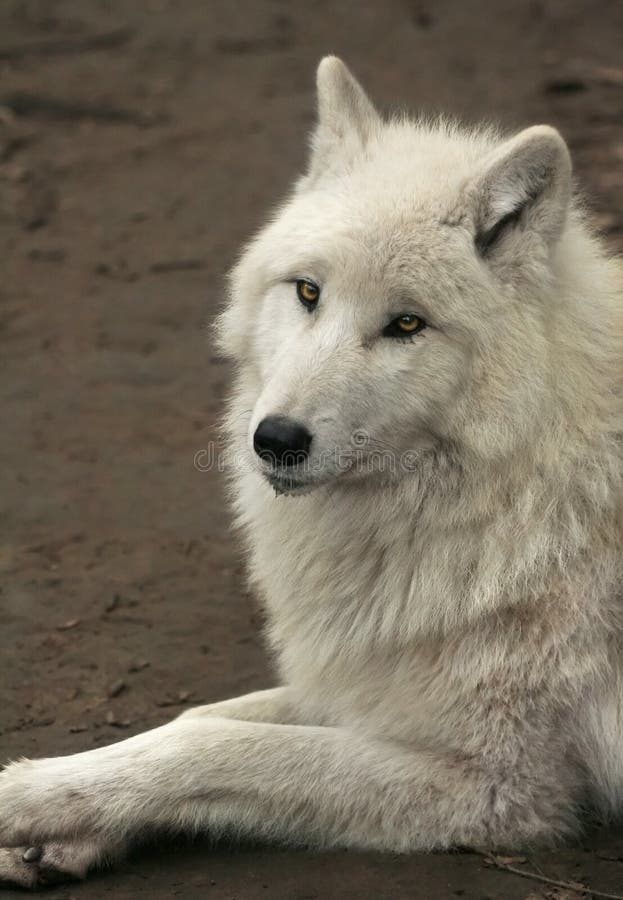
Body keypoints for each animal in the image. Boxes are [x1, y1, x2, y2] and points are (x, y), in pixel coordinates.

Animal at [1, 56, 622, 889]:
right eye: (306, 292)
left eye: (405, 324)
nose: (275, 440)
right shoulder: (366, 682)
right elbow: (200, 717)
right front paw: (62, 829)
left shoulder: (499, 785)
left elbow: (214, 746)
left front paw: (28, 794)